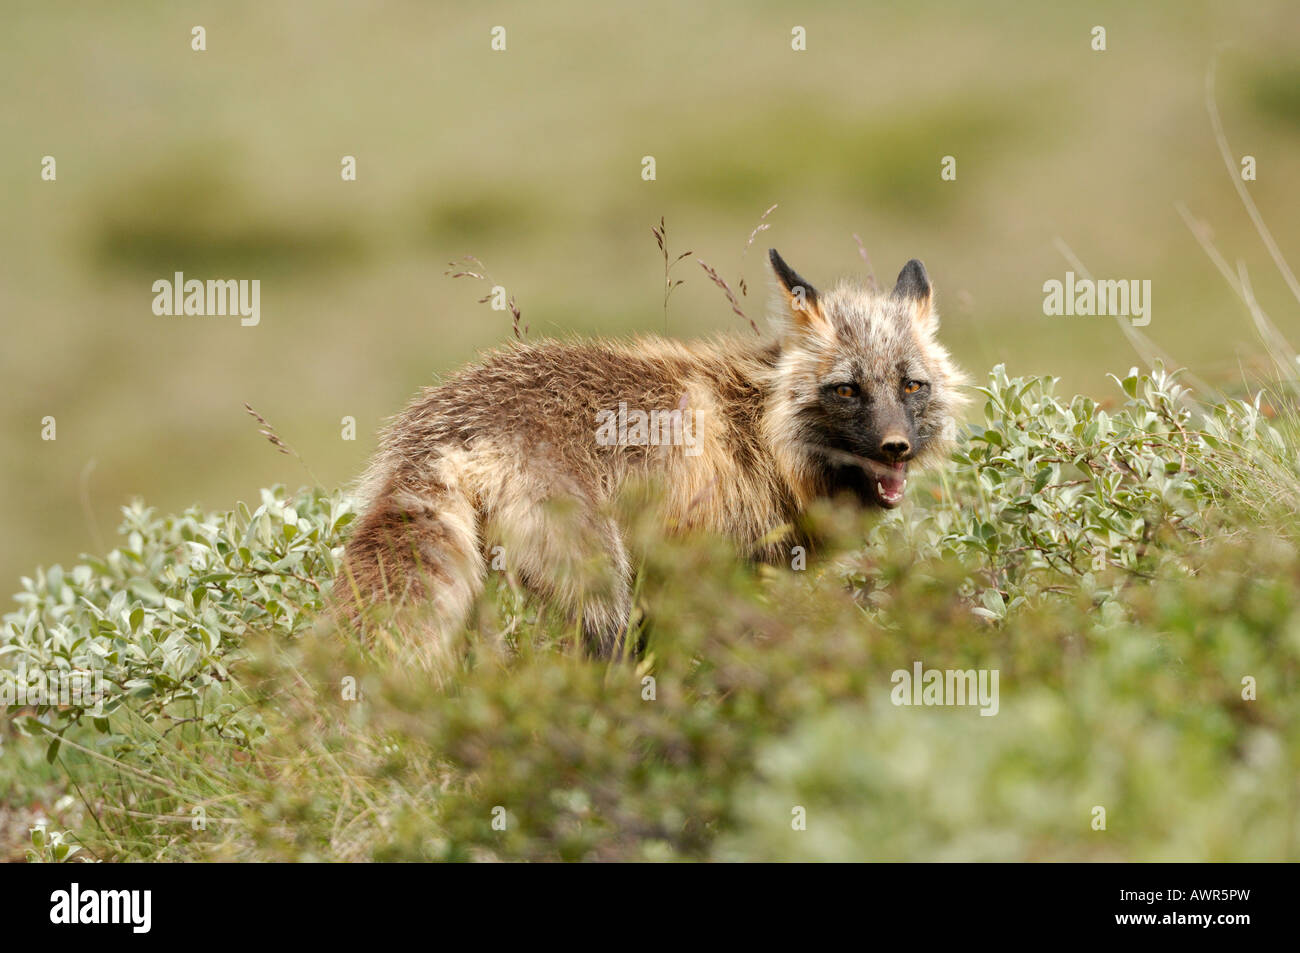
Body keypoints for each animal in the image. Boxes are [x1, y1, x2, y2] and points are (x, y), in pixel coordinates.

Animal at [337, 249, 967, 660]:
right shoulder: (704, 577)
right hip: (599, 586)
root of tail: (446, 421)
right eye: (847, 390)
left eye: (911, 386)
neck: (759, 435)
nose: (895, 446)